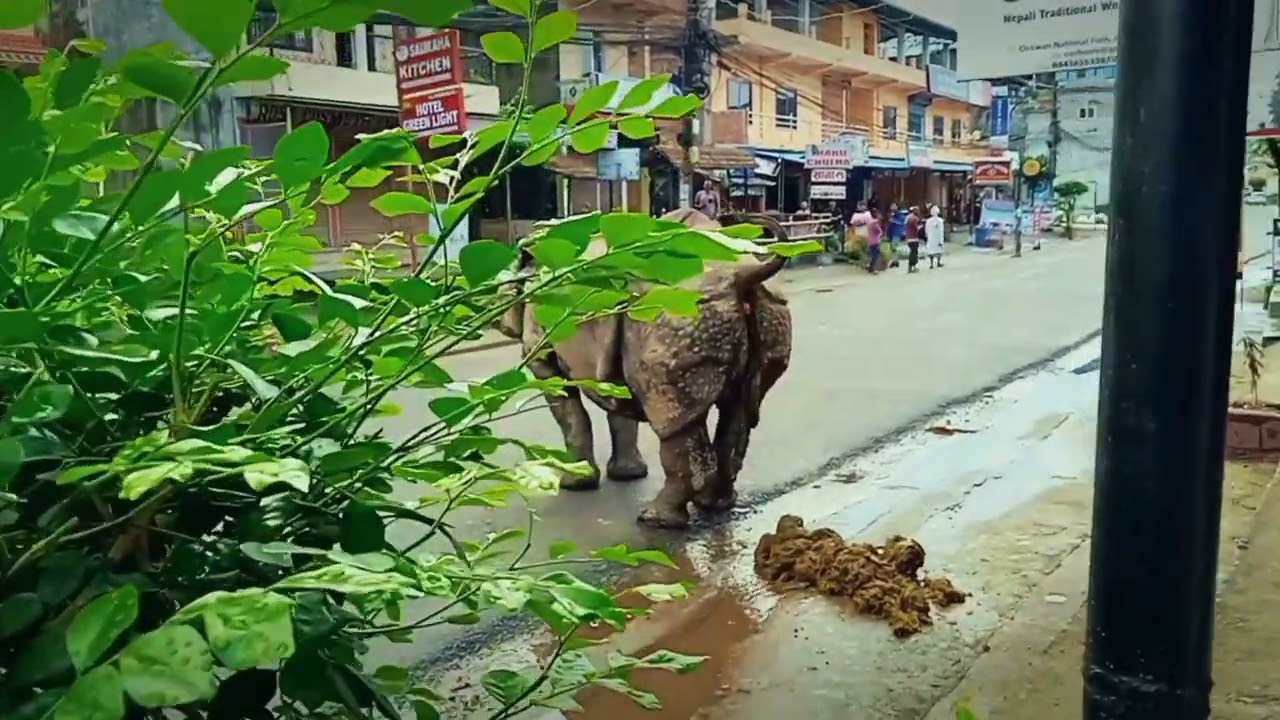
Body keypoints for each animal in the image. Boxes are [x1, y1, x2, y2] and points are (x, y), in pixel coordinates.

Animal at [499, 208, 792, 529]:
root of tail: (742, 275)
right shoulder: (614, 354)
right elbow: (619, 409)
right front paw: (628, 475)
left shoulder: (541, 351)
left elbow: (570, 416)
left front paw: (575, 484)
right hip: (768, 310)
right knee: (738, 411)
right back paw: (716, 505)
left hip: (675, 314)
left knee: (671, 417)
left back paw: (654, 519)